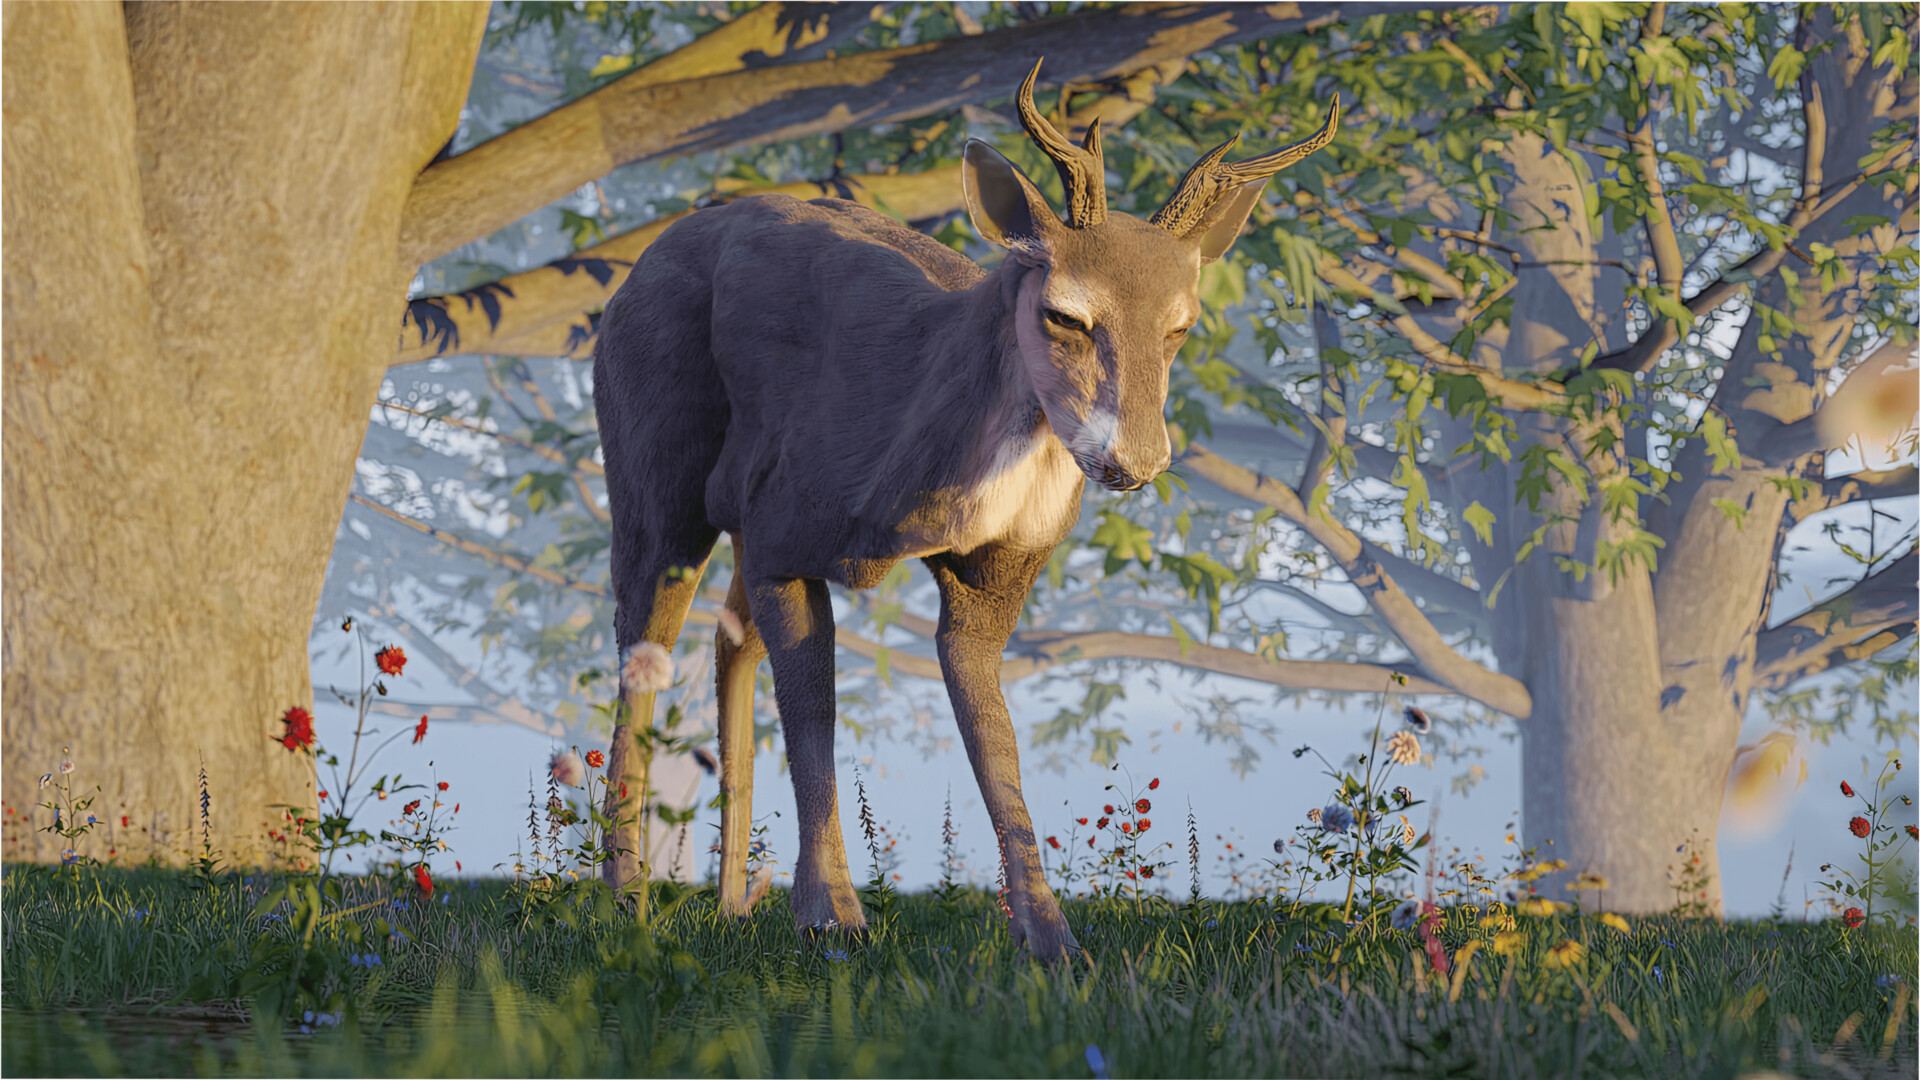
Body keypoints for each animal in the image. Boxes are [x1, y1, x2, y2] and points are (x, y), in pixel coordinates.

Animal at [591, 60, 1337, 960]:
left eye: (1181, 327)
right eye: (1065, 314)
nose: (1133, 462)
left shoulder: (994, 573)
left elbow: (995, 736)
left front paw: (1053, 940)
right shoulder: (786, 528)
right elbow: (813, 713)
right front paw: (832, 917)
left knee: (726, 646)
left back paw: (732, 906)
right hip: (655, 470)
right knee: (641, 648)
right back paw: (626, 901)